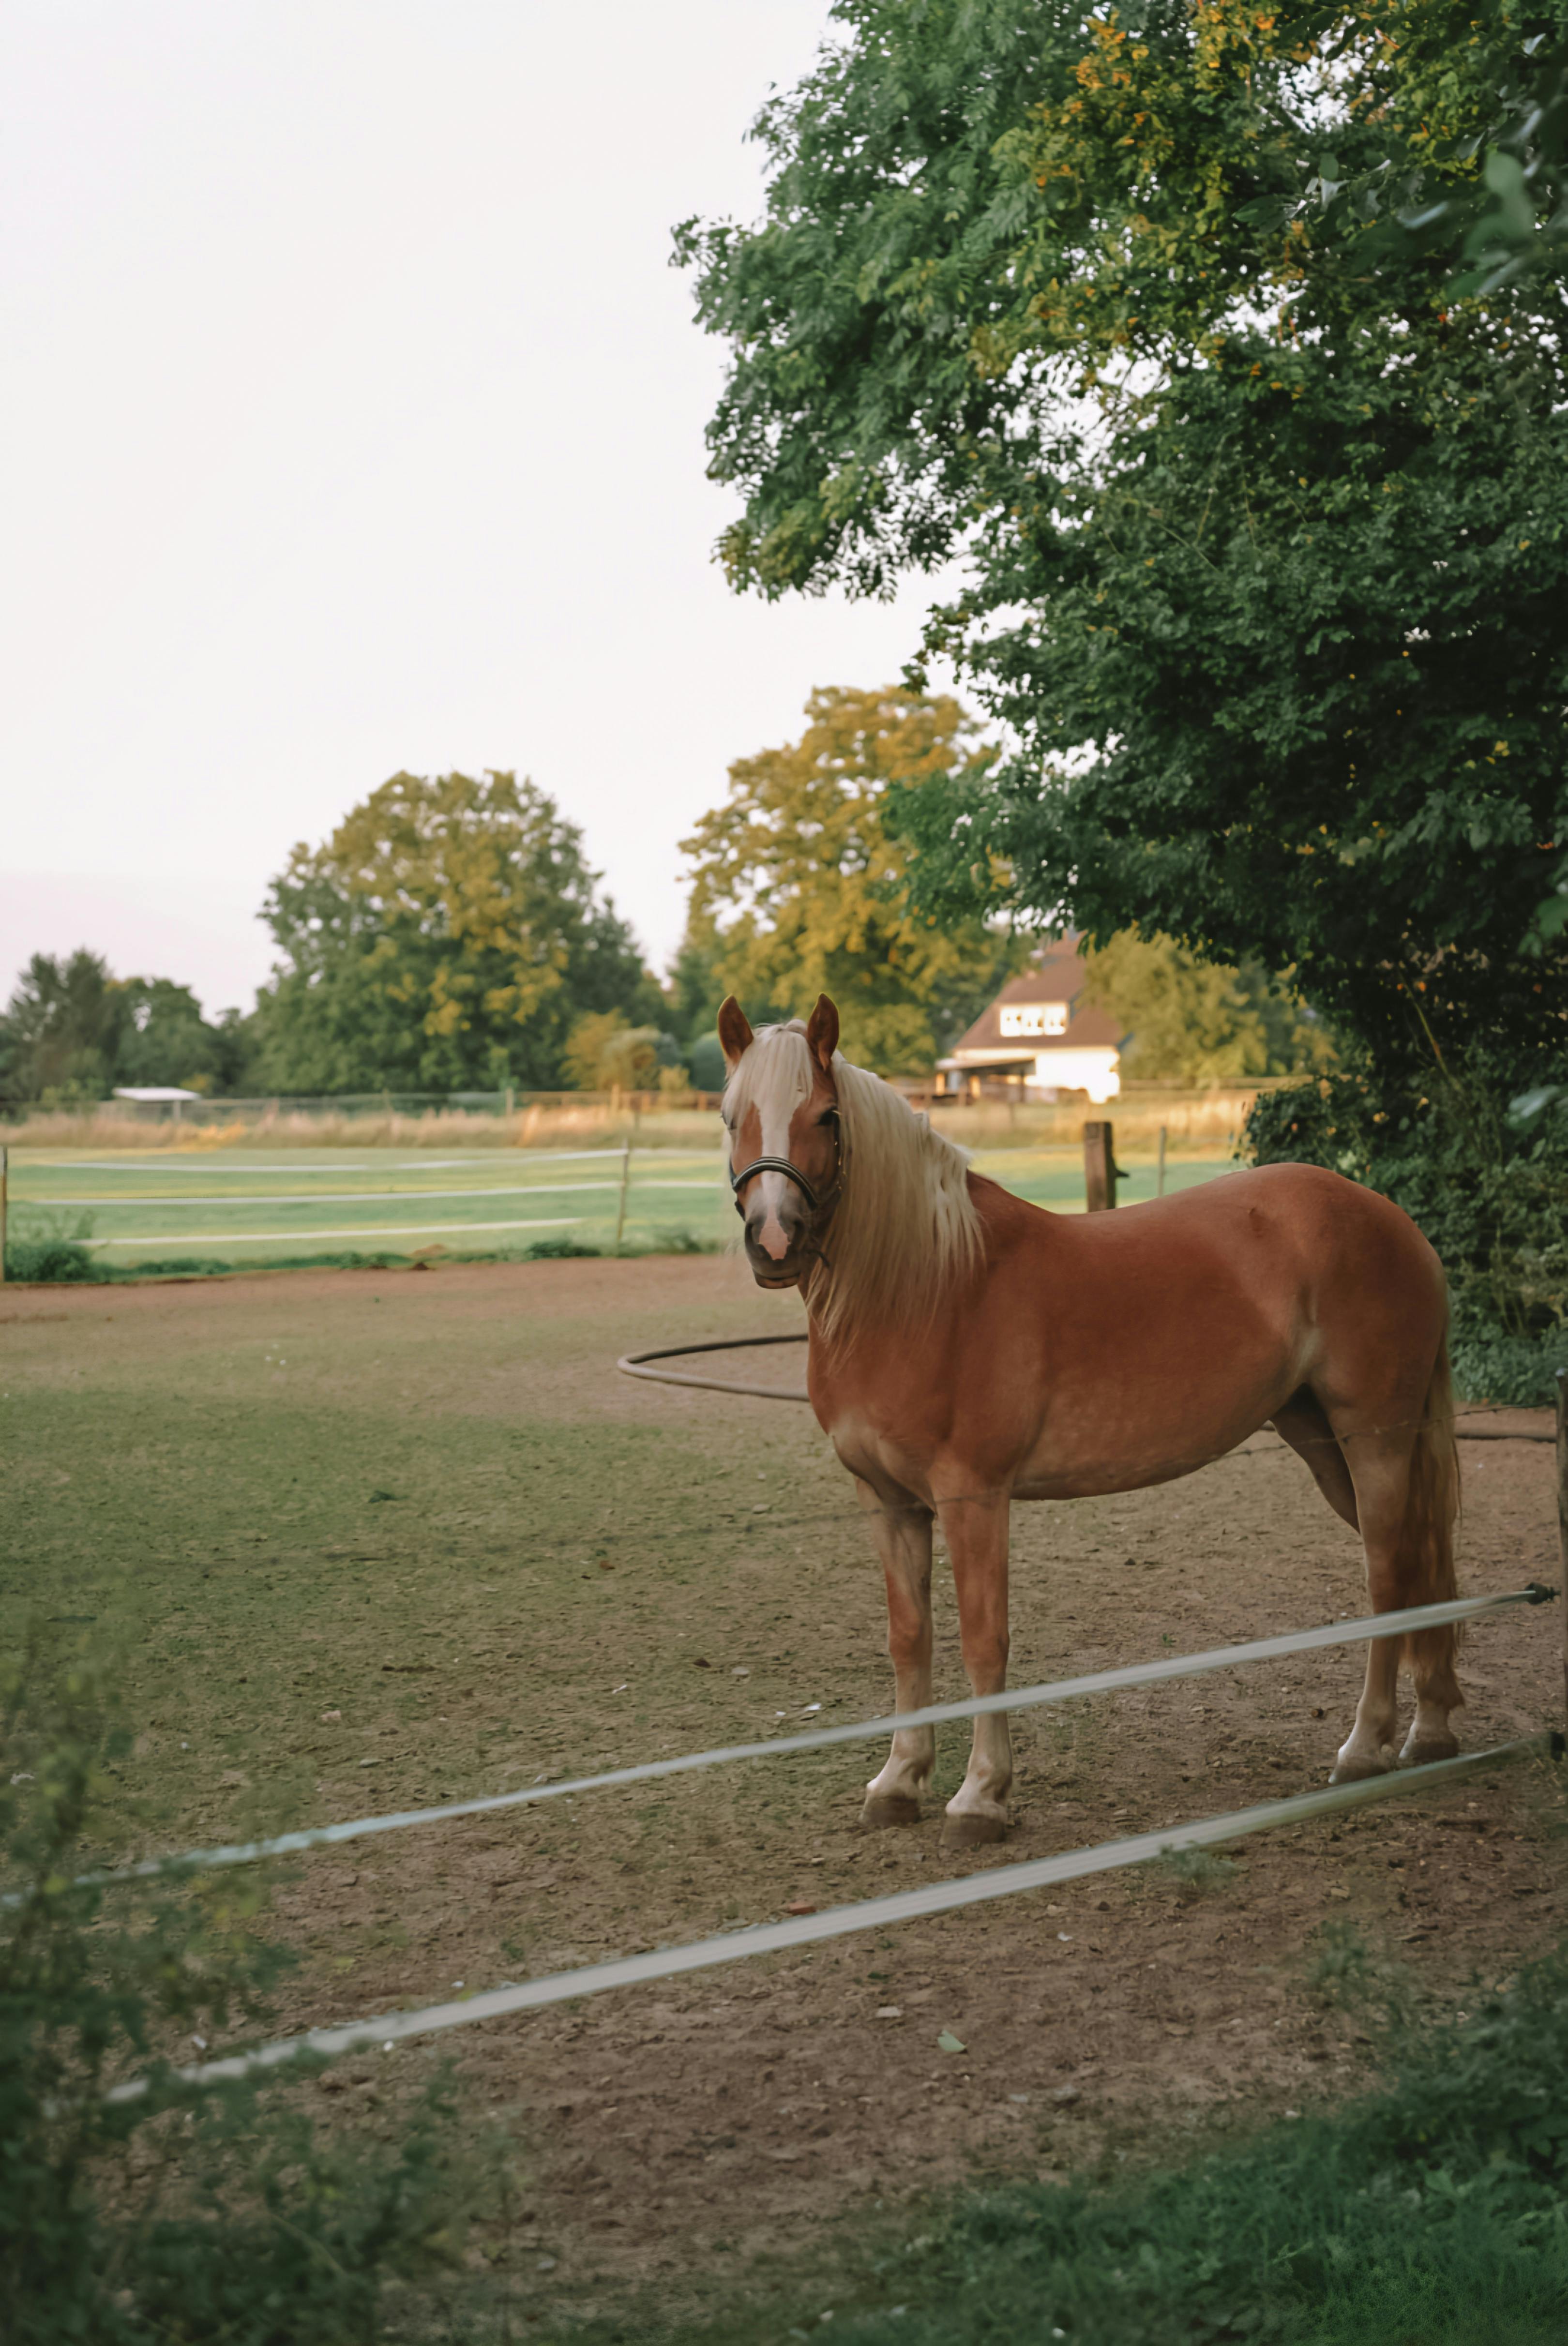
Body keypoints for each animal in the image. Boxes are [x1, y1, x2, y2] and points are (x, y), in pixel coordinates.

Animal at [717, 993, 1461, 1849]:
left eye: (828, 1116)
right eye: (730, 1114)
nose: (775, 1239)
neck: (923, 1289)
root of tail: (1395, 1222)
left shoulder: (974, 1495)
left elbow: (984, 1638)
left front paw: (981, 1797)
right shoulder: (887, 1501)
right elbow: (909, 1640)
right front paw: (897, 1783)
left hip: (1375, 1440)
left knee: (1390, 1577)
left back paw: (1365, 1748)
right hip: (1323, 1440)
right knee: (1422, 1567)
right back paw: (1431, 1734)